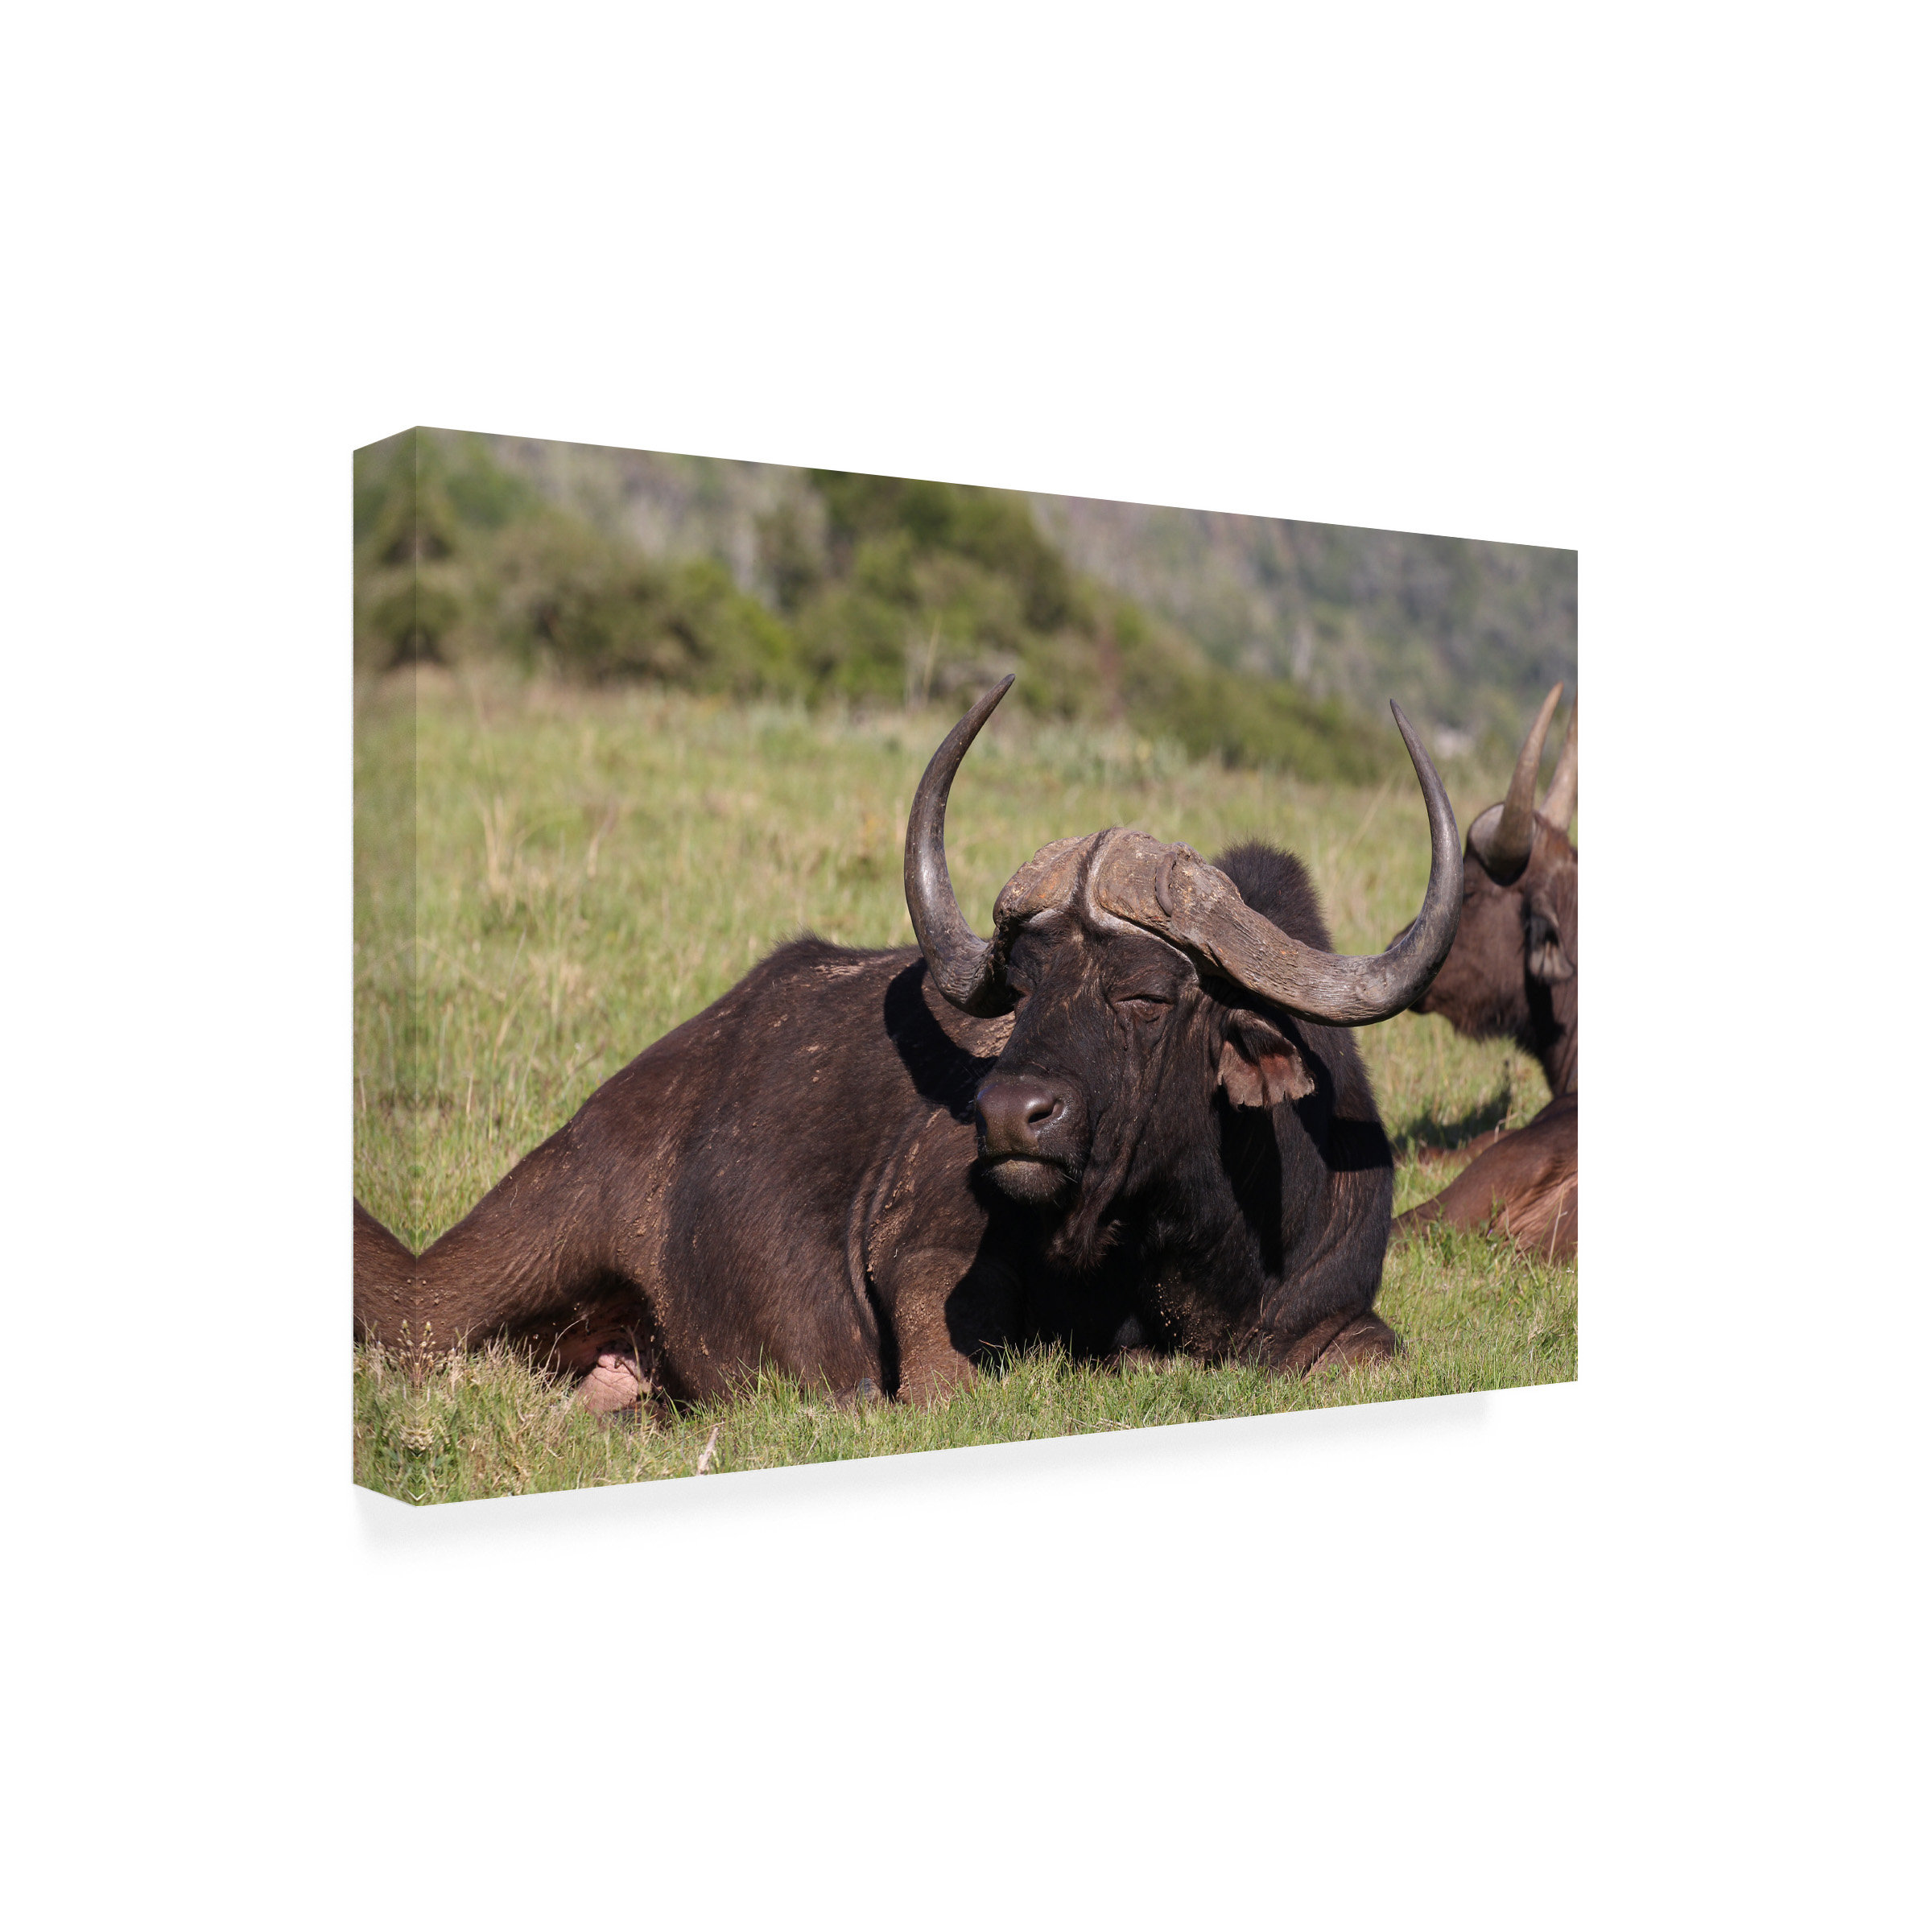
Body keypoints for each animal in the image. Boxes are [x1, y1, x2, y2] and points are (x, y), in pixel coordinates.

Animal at [354, 677, 1462, 1408]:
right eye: (1026, 986)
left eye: (1148, 994)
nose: (1010, 1116)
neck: (1195, 1257)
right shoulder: (927, 1267)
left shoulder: (1339, 1317)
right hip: (483, 1267)